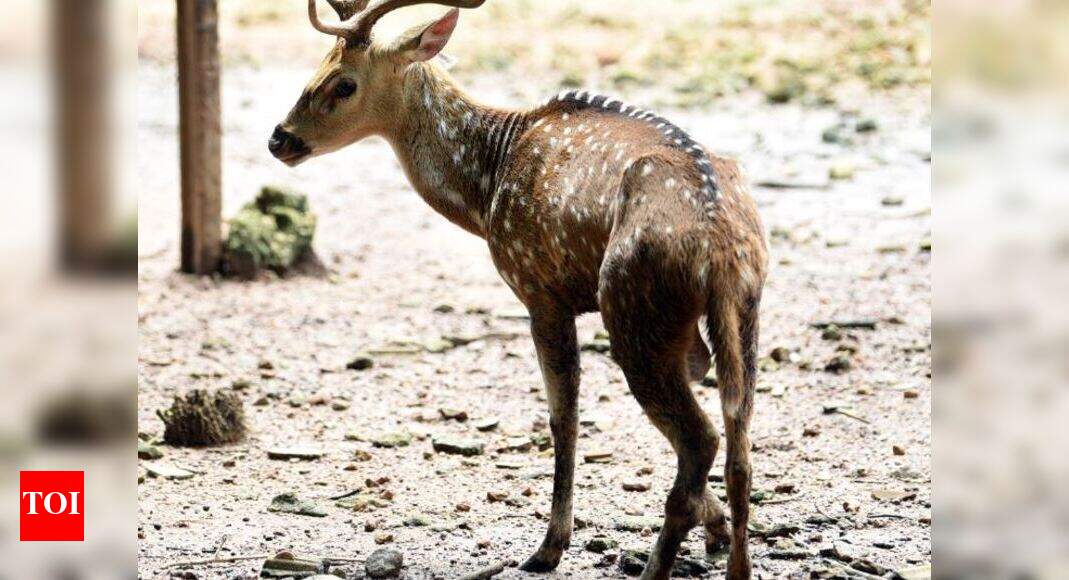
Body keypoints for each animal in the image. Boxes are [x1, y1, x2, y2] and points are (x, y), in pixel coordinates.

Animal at [269, 1, 768, 578]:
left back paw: (652, 565)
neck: (488, 184)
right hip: (740, 308)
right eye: (318, 65)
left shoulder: (539, 287)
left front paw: (550, 546)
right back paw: (734, 560)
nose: (279, 138)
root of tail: (718, 240)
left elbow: (563, 417)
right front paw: (714, 529)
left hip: (634, 307)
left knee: (700, 437)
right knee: (738, 441)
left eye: (344, 83)